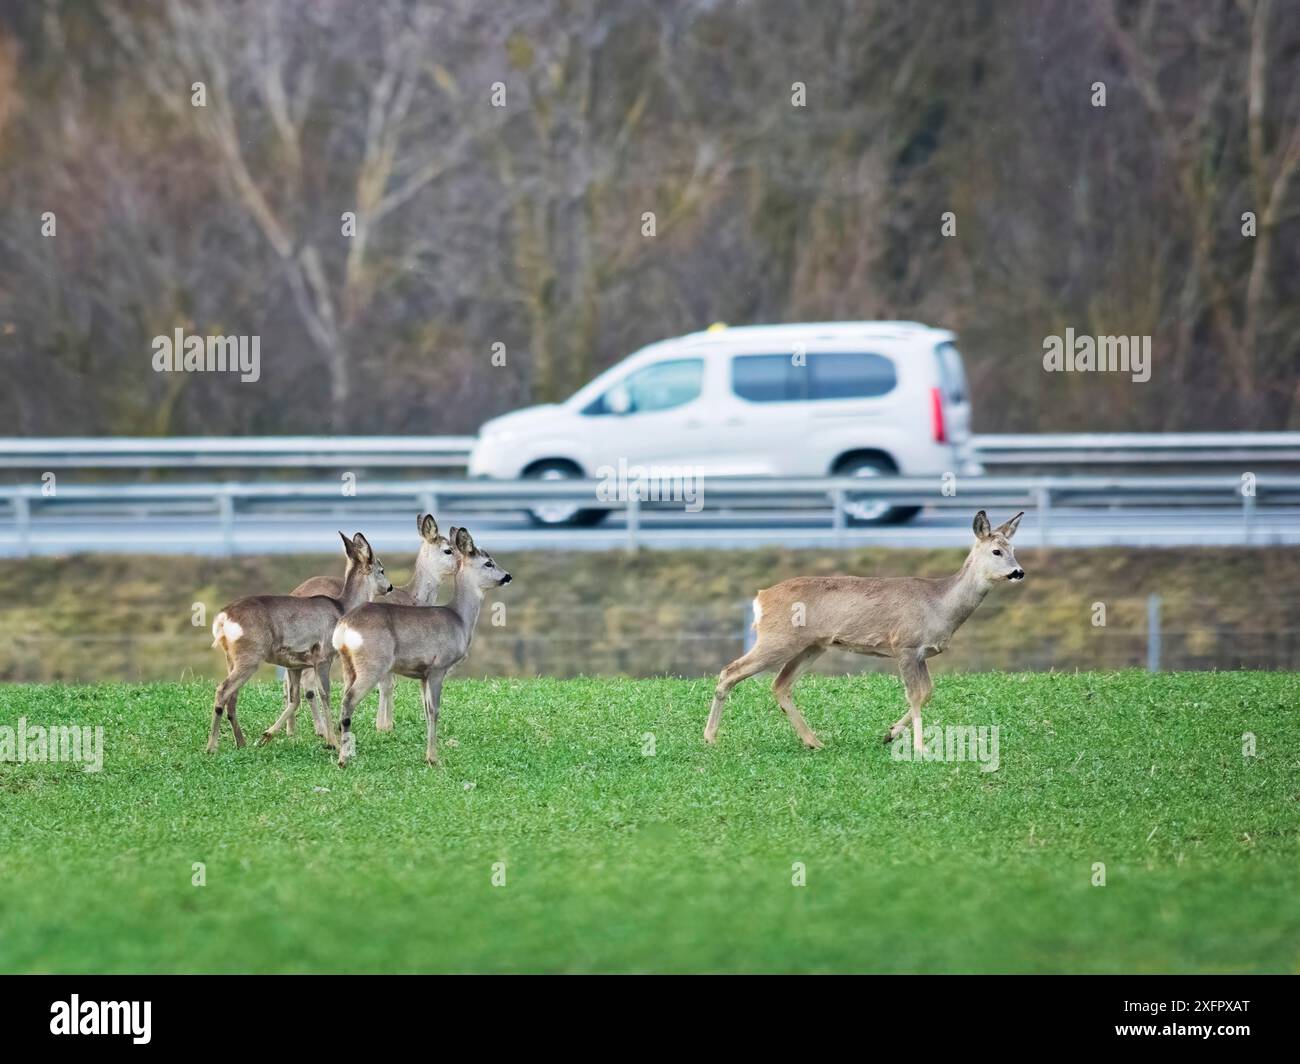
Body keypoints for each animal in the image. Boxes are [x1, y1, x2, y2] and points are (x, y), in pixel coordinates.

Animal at [206, 531, 392, 754]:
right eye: (381, 569)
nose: (390, 587)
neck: (341, 609)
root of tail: (222, 618)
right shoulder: (323, 657)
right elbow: (325, 694)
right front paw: (332, 741)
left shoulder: (294, 665)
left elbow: (294, 700)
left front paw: (266, 736)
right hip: (250, 655)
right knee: (223, 690)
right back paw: (211, 746)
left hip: (231, 657)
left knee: (232, 696)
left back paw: (241, 742)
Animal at [281, 513, 457, 738]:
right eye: (448, 549)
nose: (462, 561)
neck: (413, 598)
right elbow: (387, 685)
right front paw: (384, 726)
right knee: (308, 683)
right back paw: (321, 729)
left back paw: (291, 729)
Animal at [330, 526, 511, 768]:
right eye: (489, 563)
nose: (508, 576)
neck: (459, 619)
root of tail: (344, 626)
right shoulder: (438, 667)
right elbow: (435, 710)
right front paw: (433, 758)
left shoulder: (423, 674)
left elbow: (426, 711)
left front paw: (429, 753)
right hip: (373, 663)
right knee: (348, 701)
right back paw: (343, 759)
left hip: (348, 665)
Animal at [704, 510, 1025, 753]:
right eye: (996, 551)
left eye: (1014, 550)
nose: (1018, 572)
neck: (940, 604)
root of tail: (760, 598)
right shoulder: (905, 645)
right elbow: (915, 695)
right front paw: (919, 747)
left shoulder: (921, 654)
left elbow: (928, 692)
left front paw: (890, 733)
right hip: (777, 638)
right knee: (730, 671)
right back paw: (710, 738)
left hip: (812, 646)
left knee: (780, 685)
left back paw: (814, 742)